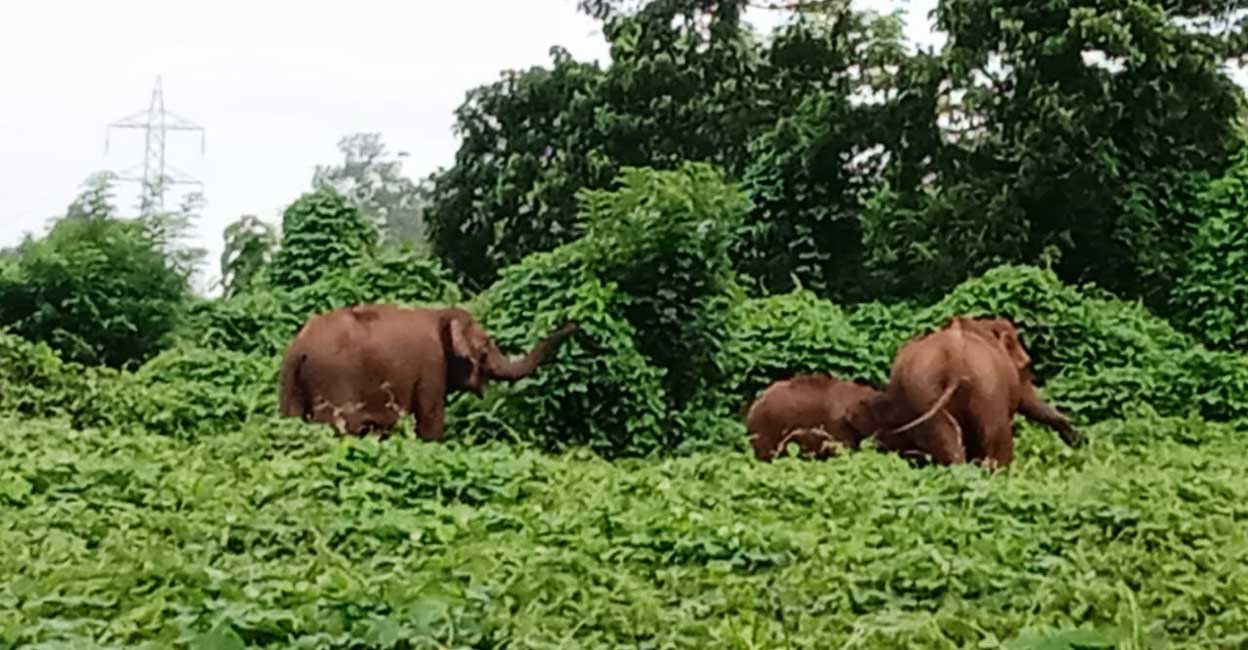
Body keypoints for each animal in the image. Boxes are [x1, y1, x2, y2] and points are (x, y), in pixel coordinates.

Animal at [278, 304, 579, 440]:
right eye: (485, 348)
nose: (576, 324)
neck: (441, 312)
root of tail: (299, 347)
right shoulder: (432, 366)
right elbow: (431, 417)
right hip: (335, 379)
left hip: (290, 381)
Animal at [845, 315, 1084, 469]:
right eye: (1027, 365)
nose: (1080, 441)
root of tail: (953, 357)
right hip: (986, 389)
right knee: (997, 439)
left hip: (922, 392)